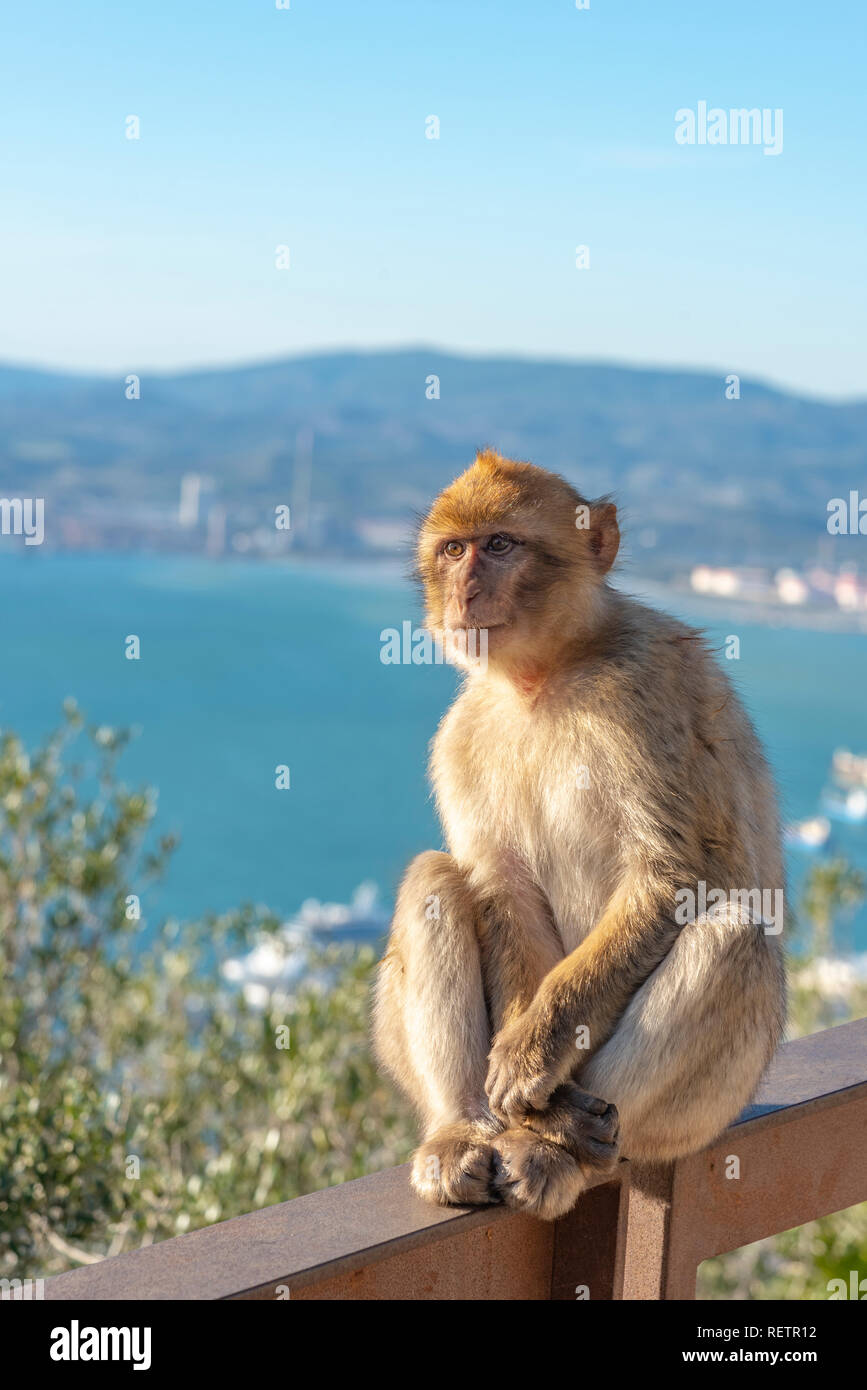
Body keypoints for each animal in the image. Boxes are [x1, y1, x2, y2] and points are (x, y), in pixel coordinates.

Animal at [373, 449, 786, 1221]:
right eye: (453, 550)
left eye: (500, 545)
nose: (464, 590)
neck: (545, 676)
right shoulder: (459, 737)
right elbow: (500, 885)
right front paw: (525, 1069)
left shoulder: (647, 688)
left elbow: (674, 877)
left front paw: (534, 1053)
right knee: (435, 879)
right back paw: (464, 1131)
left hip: (702, 1113)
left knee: (730, 932)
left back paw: (556, 1144)